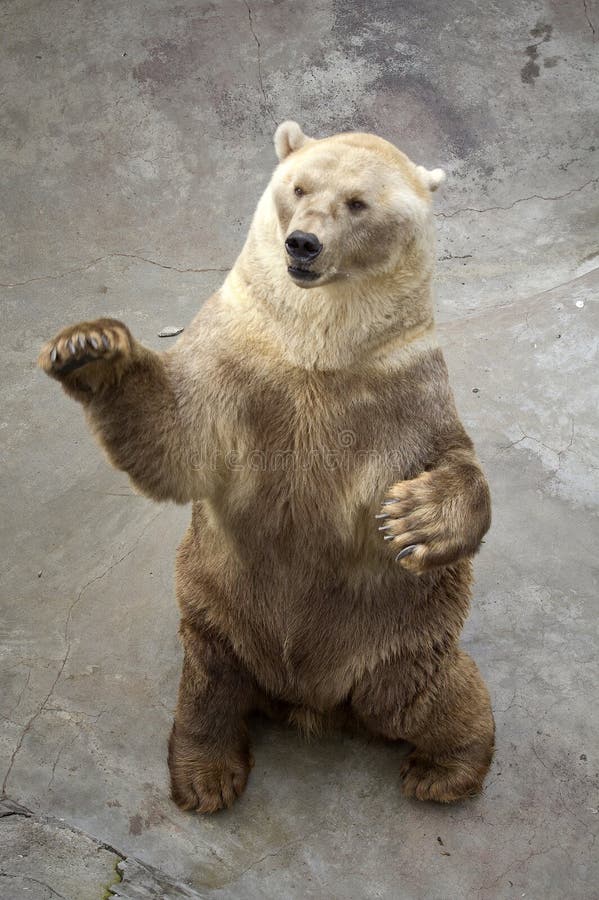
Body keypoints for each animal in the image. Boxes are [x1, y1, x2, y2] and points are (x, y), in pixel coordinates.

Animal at [39, 121, 494, 810]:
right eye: (298, 186)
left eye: (358, 203)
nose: (302, 243)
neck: (318, 347)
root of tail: (313, 702)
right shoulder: (238, 358)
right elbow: (178, 436)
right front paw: (89, 346)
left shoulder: (401, 389)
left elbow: (449, 457)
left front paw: (416, 519)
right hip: (217, 615)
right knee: (209, 690)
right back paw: (205, 774)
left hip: (400, 642)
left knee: (432, 701)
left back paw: (443, 770)